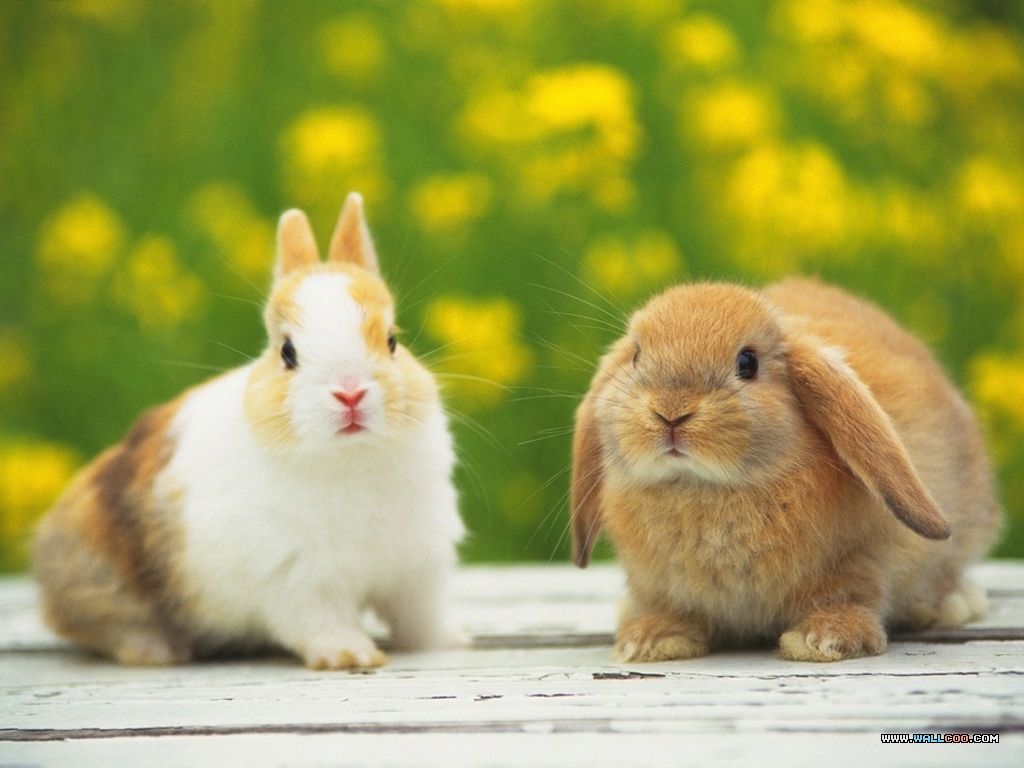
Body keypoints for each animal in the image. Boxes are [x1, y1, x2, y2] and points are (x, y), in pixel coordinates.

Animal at [33, 193, 466, 669]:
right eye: (288, 352)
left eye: (391, 340)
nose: (350, 393)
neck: (350, 458)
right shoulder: (299, 580)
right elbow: (323, 622)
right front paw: (350, 656)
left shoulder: (417, 569)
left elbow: (419, 616)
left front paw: (450, 641)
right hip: (102, 572)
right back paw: (158, 650)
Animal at [570, 277, 1000, 663]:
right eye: (636, 356)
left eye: (747, 363)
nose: (671, 411)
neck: (704, 488)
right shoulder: (660, 585)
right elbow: (670, 608)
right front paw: (651, 640)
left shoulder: (858, 560)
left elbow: (849, 594)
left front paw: (825, 641)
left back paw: (948, 605)